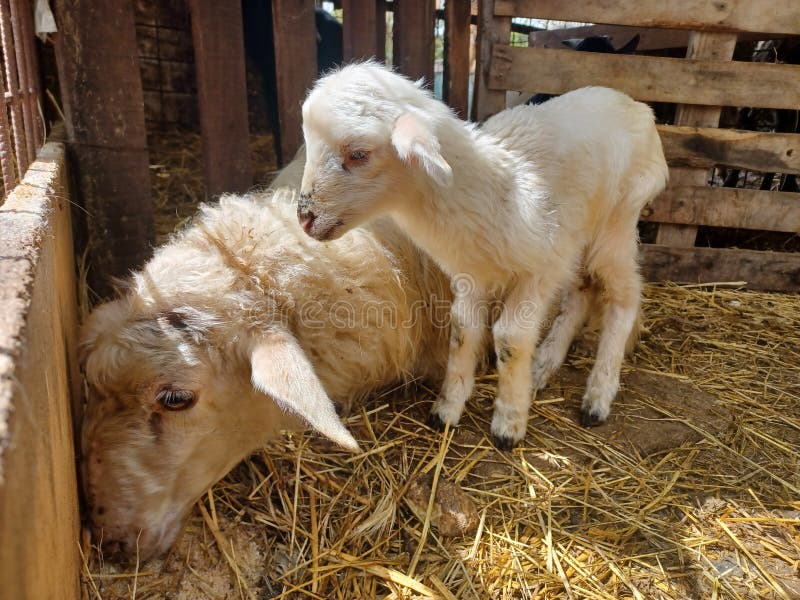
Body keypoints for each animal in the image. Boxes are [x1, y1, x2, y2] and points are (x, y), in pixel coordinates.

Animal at [298, 62, 668, 449]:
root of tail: (637, 106)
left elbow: (509, 337)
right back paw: (544, 364)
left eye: (358, 154)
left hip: (617, 221)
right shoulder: (472, 273)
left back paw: (598, 394)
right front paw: (447, 408)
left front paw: (509, 421)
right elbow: (462, 329)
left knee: (625, 296)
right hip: (581, 234)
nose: (304, 218)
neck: (495, 190)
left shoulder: (540, 270)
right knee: (579, 294)